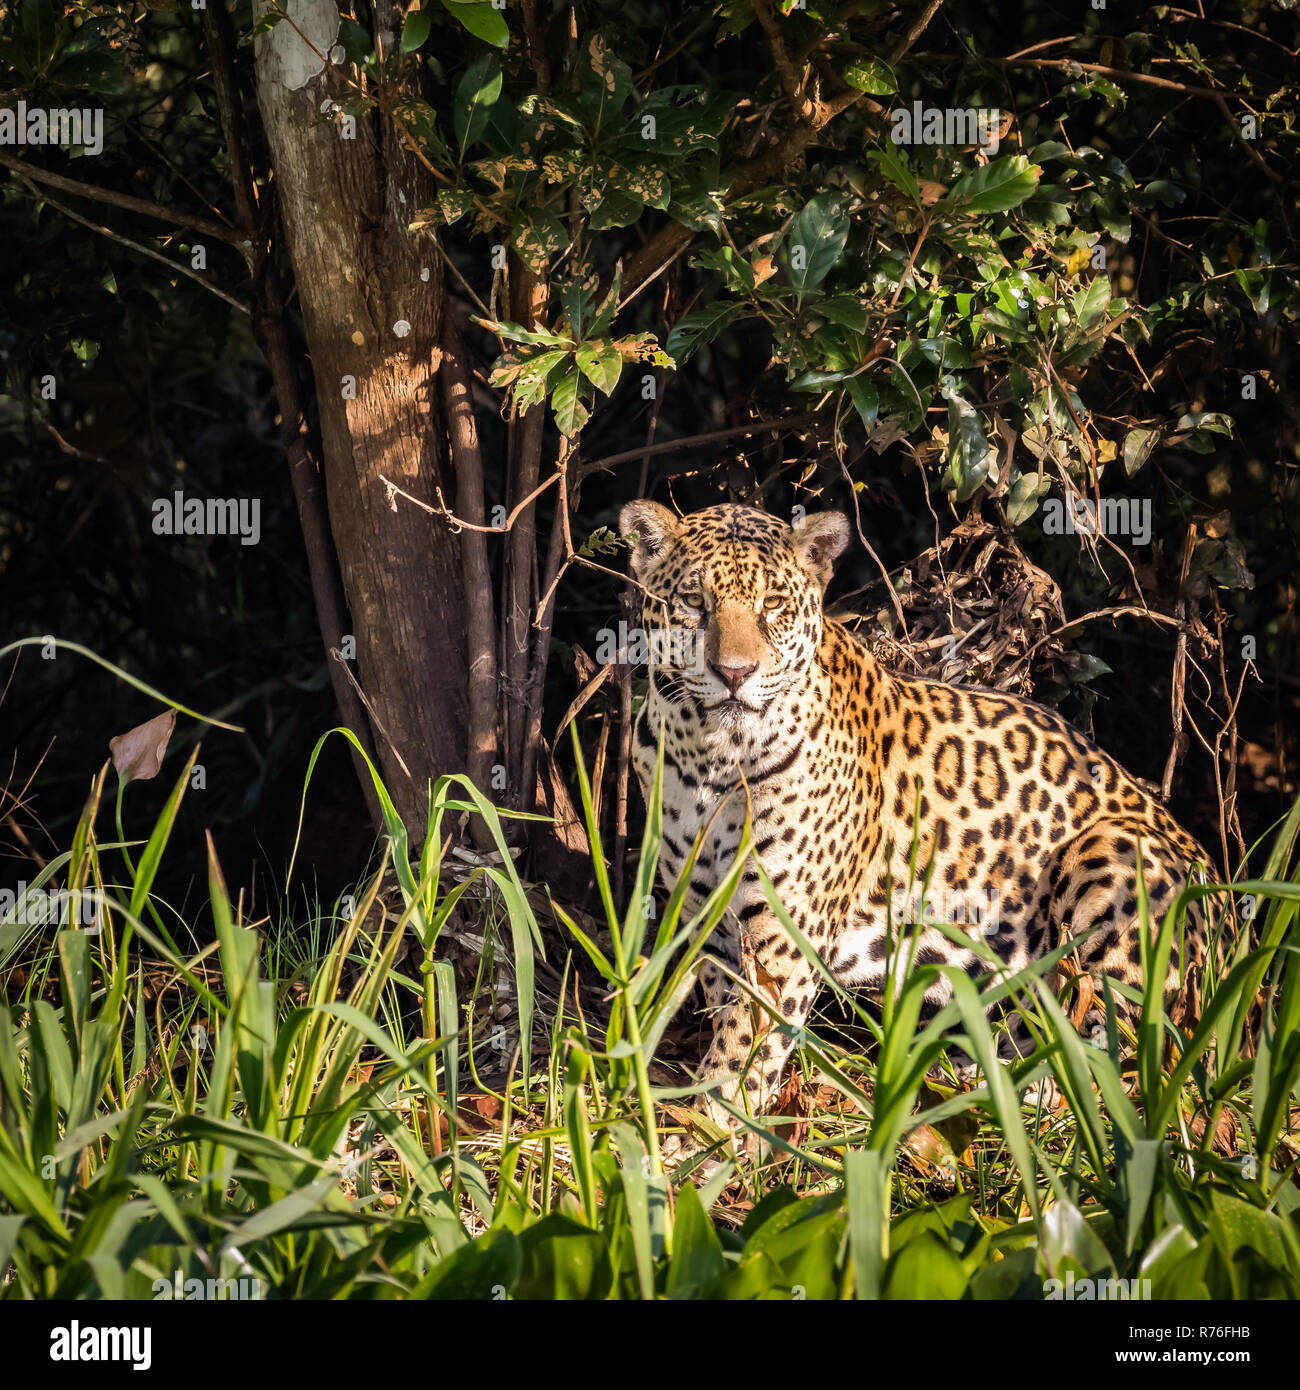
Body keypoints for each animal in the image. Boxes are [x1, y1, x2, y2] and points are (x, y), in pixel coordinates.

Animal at [619, 498, 1221, 1150]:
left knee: (1126, 1069)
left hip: (1113, 857)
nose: (734, 673)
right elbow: (728, 1015)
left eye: (772, 605)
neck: (710, 753)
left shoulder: (784, 933)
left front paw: (708, 1132)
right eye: (694, 602)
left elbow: (745, 1039)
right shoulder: (708, 919)